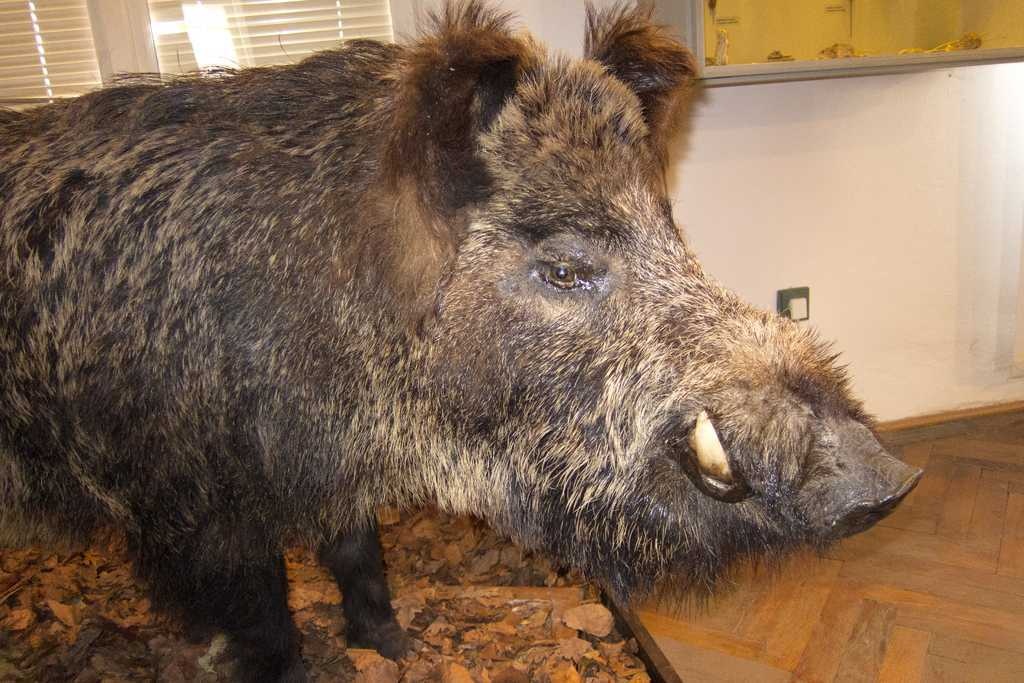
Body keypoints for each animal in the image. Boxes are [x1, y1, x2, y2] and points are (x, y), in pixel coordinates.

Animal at [0, 2, 921, 680]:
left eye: (674, 233)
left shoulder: (337, 471)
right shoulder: (190, 505)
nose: (892, 479)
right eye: (563, 268)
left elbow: (359, 550)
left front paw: (393, 647)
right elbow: (264, 622)